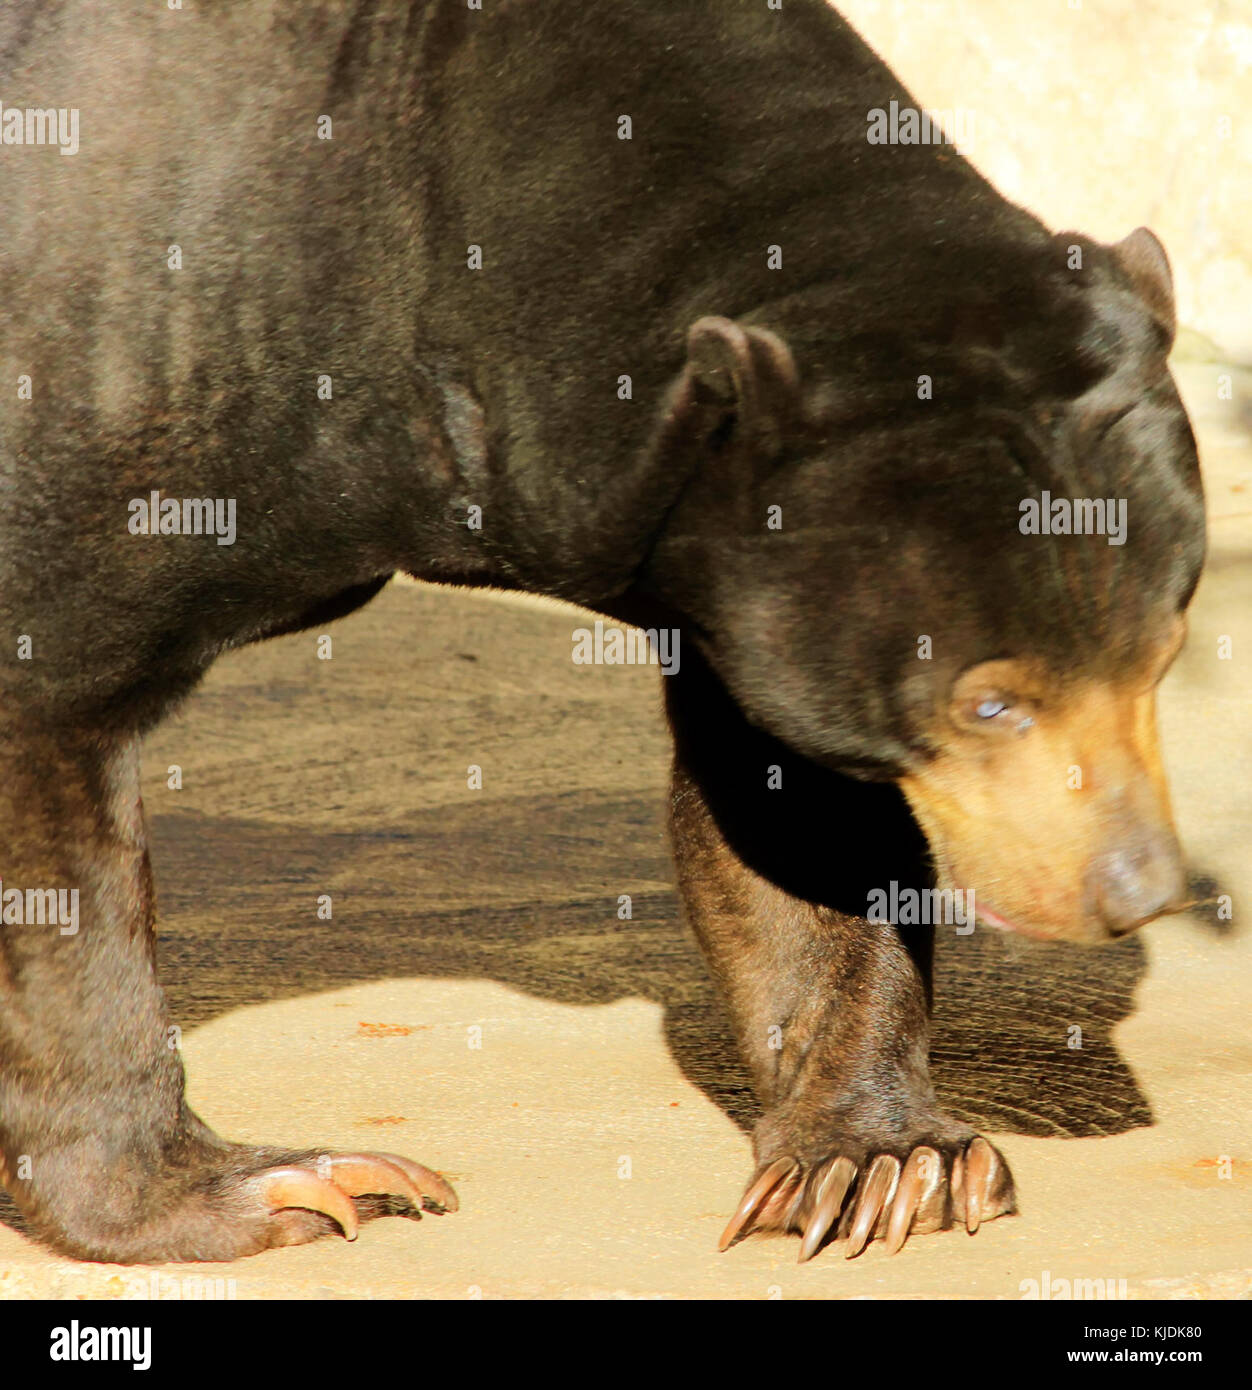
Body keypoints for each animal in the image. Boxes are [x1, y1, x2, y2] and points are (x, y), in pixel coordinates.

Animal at [0, 0, 1204, 1263]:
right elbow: (58, 808)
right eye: (988, 699)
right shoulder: (125, 350)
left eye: (1162, 655)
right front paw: (271, 1188)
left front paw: (884, 1162)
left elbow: (782, 798)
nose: (1136, 892)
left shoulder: (718, 537)